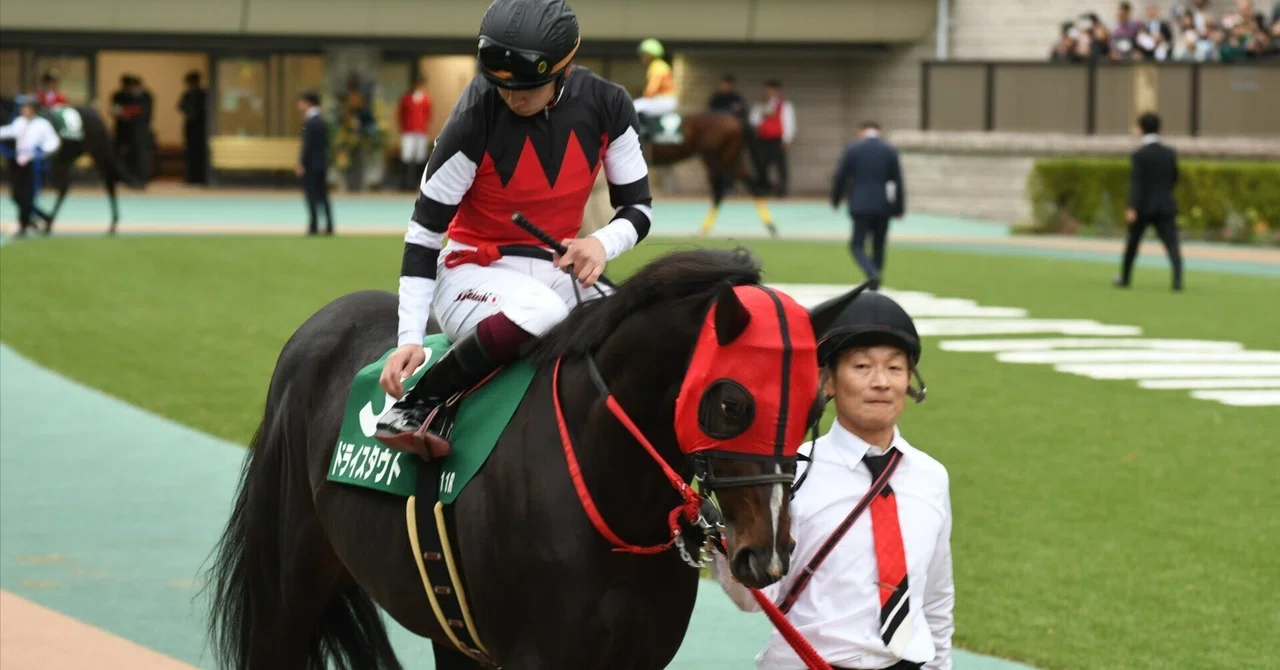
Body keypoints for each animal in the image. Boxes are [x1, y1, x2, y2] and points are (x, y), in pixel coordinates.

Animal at [0, 96, 141, 236]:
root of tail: (94, 113)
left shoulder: (38, 164)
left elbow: (25, 193)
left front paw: (32, 222)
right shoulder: (15, 164)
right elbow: (17, 194)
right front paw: (29, 223)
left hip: (99, 151)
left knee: (109, 180)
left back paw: (112, 225)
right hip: (65, 159)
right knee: (64, 187)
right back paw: (48, 223)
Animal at [204, 246, 862, 670]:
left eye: (815, 404)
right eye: (731, 403)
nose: (766, 555)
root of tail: (322, 322)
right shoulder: (538, 655)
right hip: (286, 591)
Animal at [642, 111, 779, 238]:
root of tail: (737, 120)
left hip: (715, 159)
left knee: (718, 192)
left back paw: (703, 229)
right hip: (733, 159)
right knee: (753, 186)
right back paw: (770, 226)